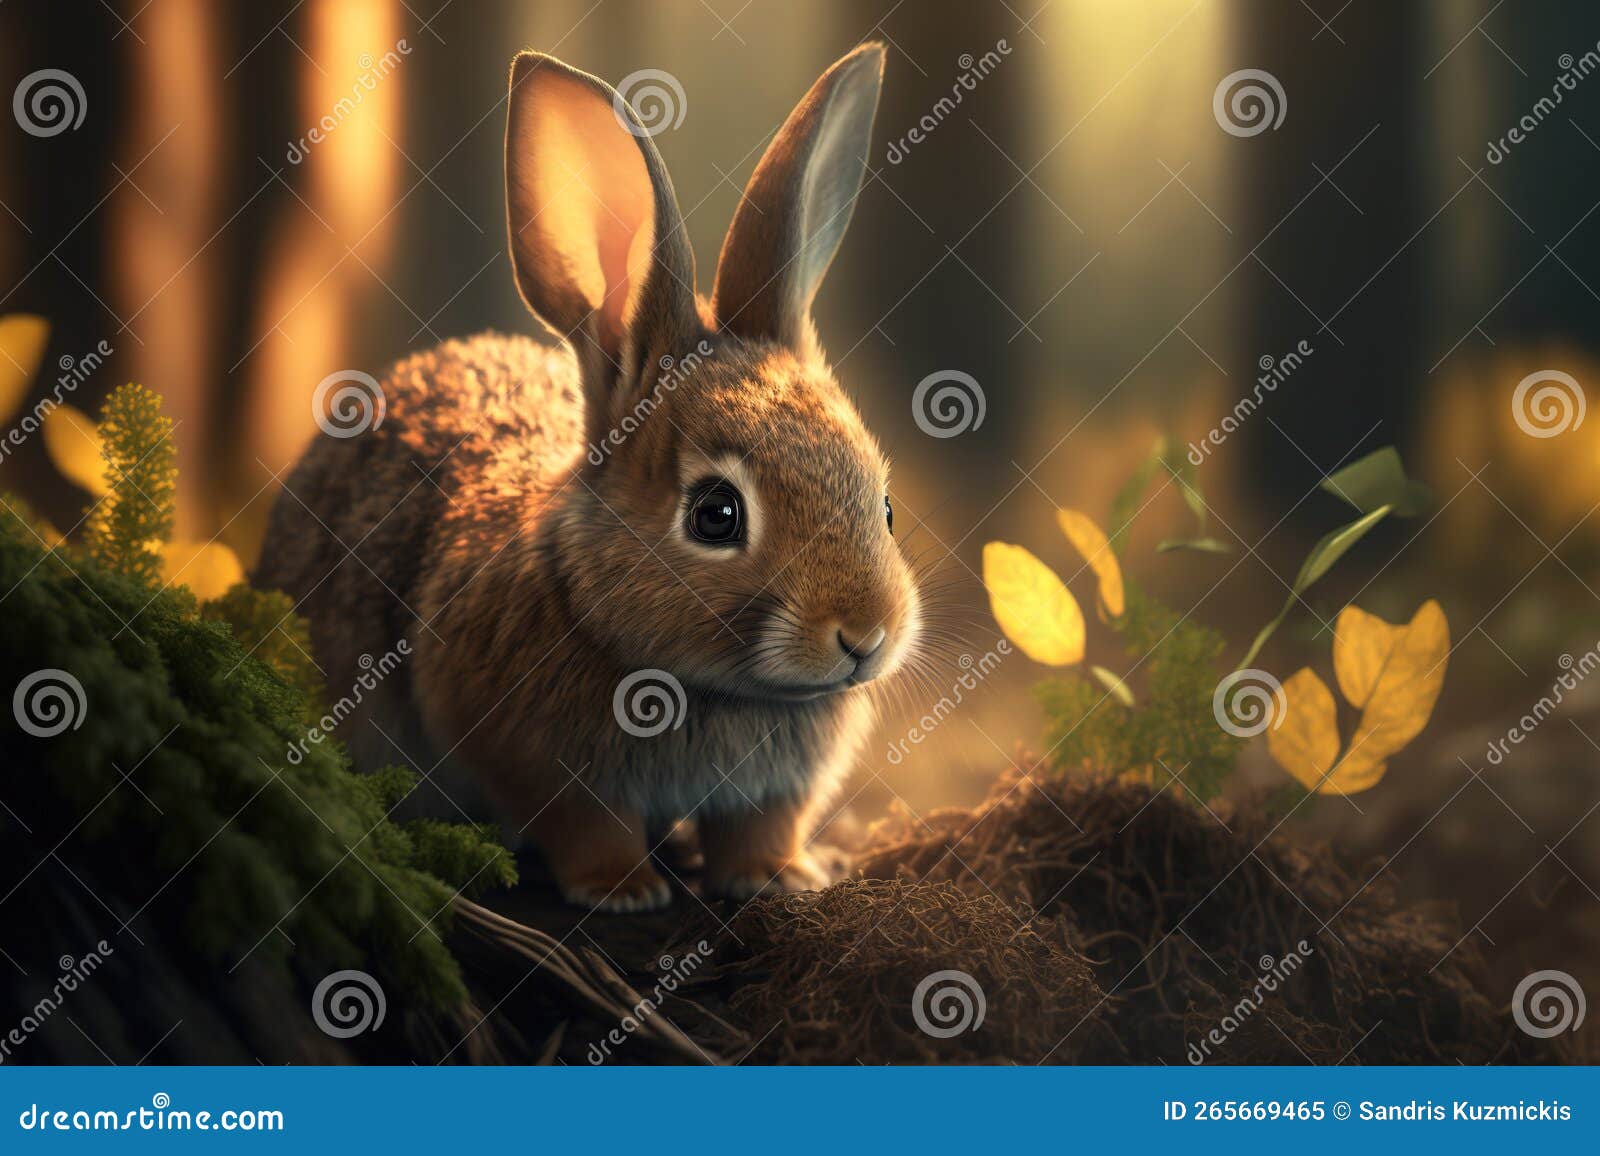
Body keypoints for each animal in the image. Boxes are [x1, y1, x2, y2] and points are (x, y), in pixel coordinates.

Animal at [255, 43, 920, 913]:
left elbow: (759, 827)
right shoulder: (531, 758)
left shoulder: (774, 790)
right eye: (716, 515)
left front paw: (778, 877)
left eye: (884, 505)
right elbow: (585, 825)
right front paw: (623, 891)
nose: (864, 637)